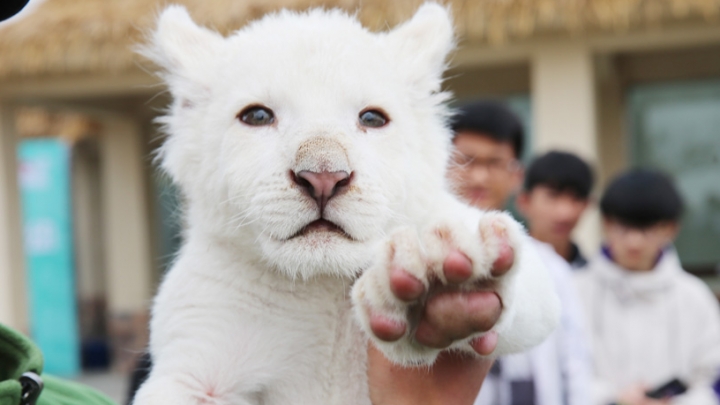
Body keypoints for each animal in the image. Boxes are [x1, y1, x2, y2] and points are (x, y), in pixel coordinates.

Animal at [133, 3, 560, 405]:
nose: (323, 178)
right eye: (256, 115)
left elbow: (530, 289)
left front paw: (443, 276)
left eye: (372, 118)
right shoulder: (196, 355)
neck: (321, 284)